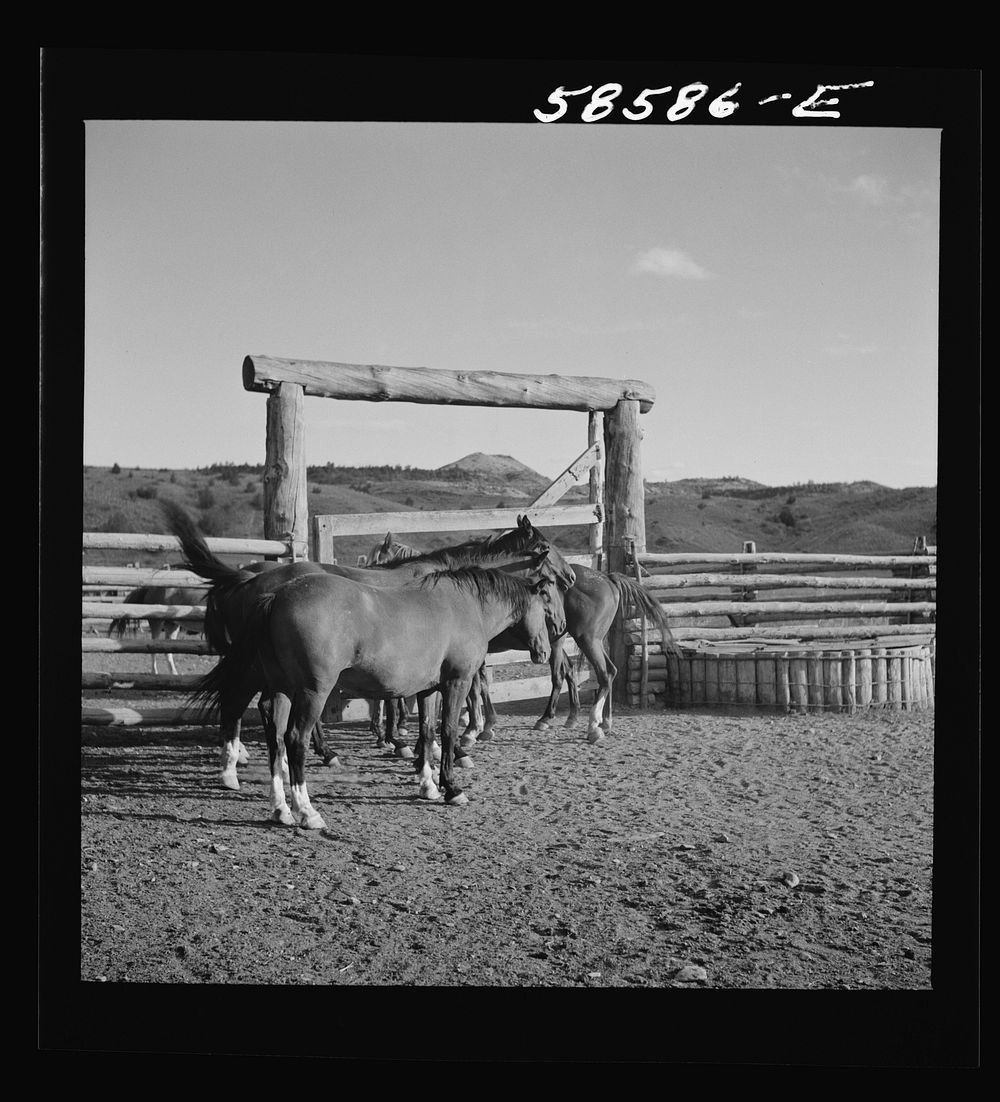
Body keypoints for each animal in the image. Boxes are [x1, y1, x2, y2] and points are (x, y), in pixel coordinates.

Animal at [191, 567, 565, 826]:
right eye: (546, 605)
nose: (547, 649)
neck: (464, 605)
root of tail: (276, 596)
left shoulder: (428, 689)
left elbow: (428, 732)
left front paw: (428, 785)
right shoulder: (456, 684)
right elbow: (447, 733)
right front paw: (452, 788)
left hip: (281, 689)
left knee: (275, 734)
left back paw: (280, 807)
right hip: (312, 691)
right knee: (294, 739)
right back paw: (305, 810)